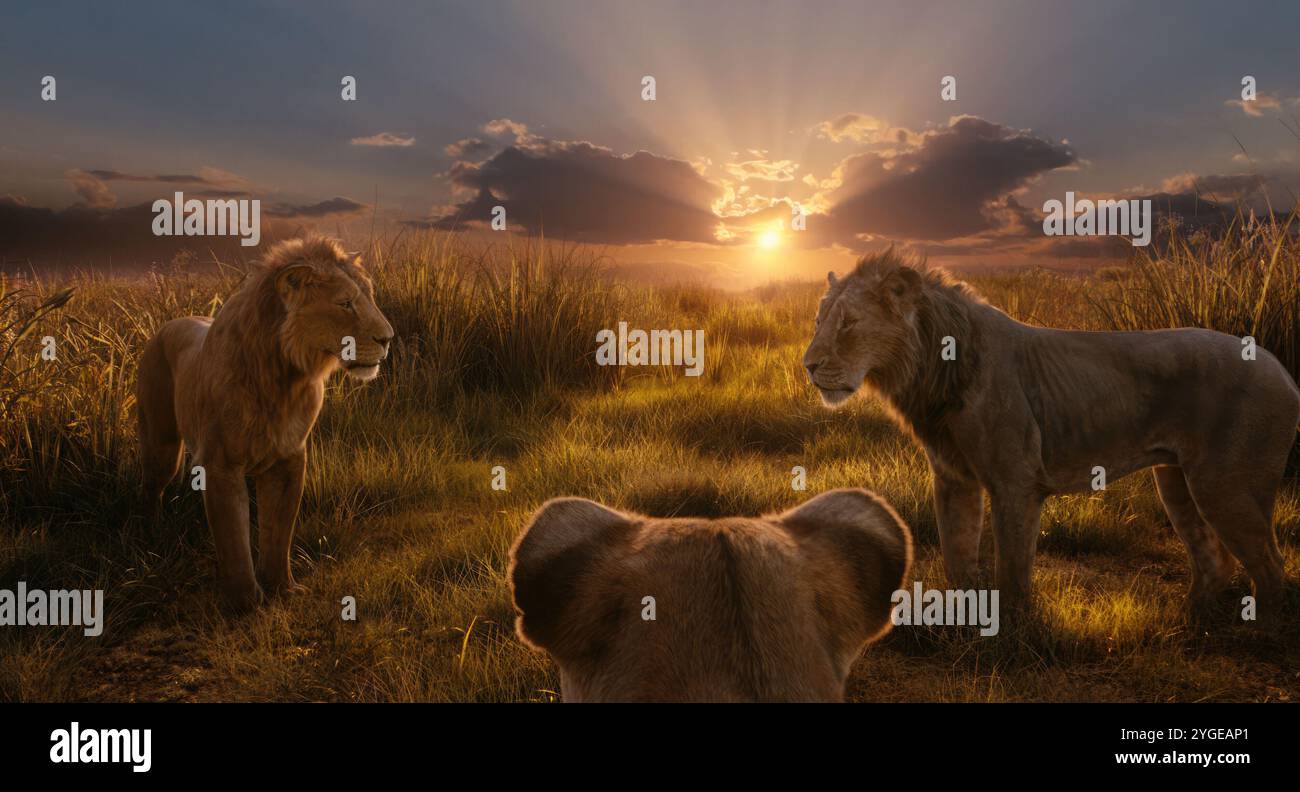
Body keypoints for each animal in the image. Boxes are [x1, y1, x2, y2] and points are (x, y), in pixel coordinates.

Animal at [136, 236, 394, 611]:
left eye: (370, 297)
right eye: (346, 303)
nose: (388, 339)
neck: (284, 377)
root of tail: (169, 323)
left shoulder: (289, 459)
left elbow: (278, 531)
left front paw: (282, 588)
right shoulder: (221, 464)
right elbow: (233, 538)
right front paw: (244, 602)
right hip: (161, 444)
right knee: (151, 487)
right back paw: (150, 540)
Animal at [803, 250, 1300, 621]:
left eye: (848, 322)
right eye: (818, 319)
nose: (807, 365)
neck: (930, 369)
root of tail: (1282, 369)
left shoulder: (1016, 481)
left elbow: (1012, 570)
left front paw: (1011, 632)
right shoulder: (953, 479)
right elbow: (956, 553)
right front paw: (964, 621)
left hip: (1224, 486)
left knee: (1271, 568)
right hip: (1175, 481)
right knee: (1217, 561)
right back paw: (1189, 622)